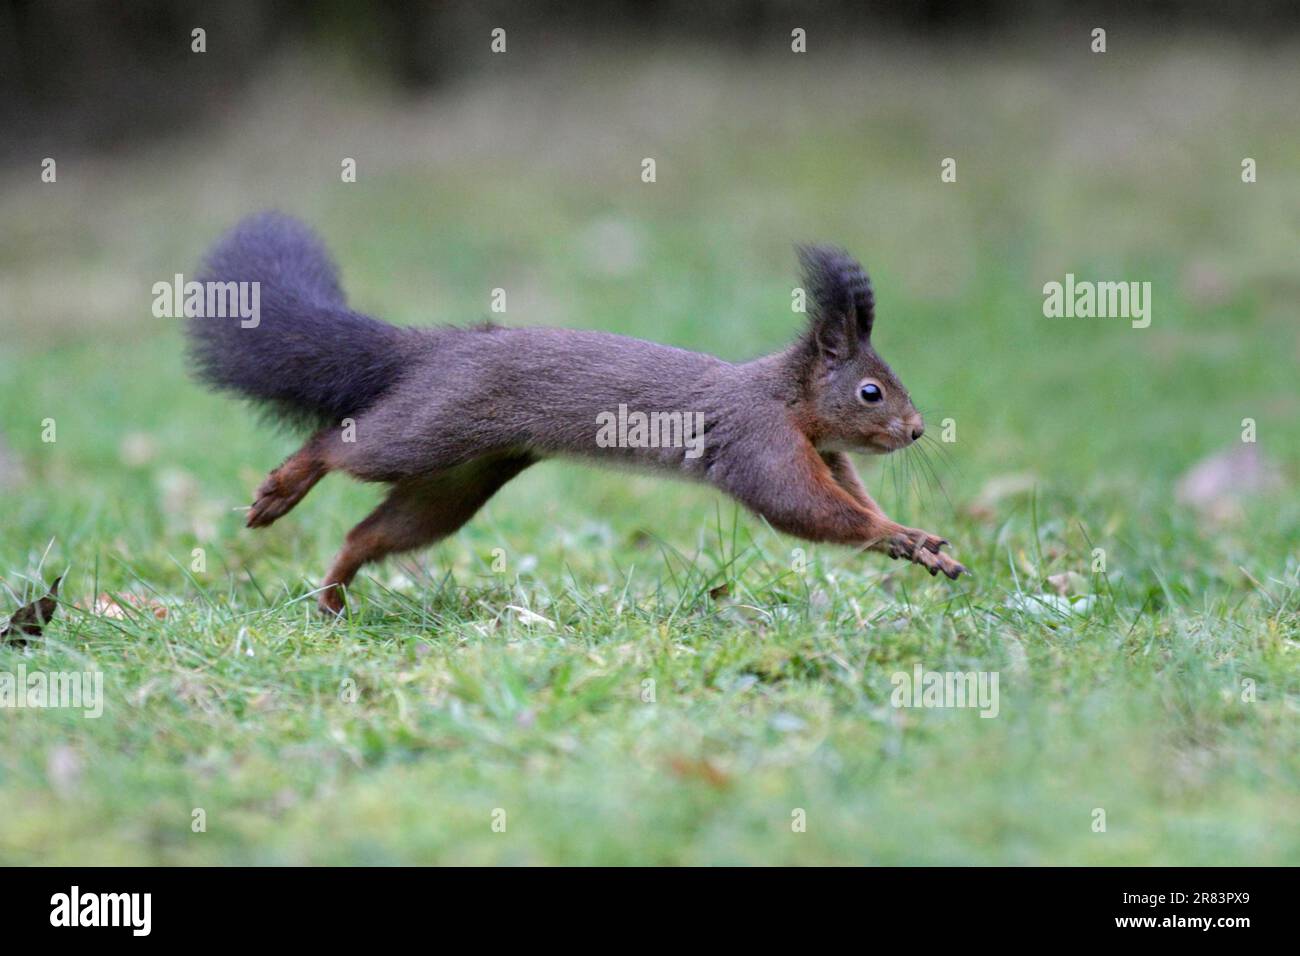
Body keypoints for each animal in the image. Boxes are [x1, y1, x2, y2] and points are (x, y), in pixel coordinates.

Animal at [186, 213, 967, 615]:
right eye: (871, 392)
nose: (917, 431)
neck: (788, 398)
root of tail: (433, 348)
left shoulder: (824, 451)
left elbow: (846, 496)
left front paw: (915, 541)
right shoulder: (759, 440)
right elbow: (805, 507)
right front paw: (896, 535)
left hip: (461, 479)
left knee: (371, 531)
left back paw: (331, 597)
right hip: (424, 430)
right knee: (338, 443)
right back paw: (281, 490)